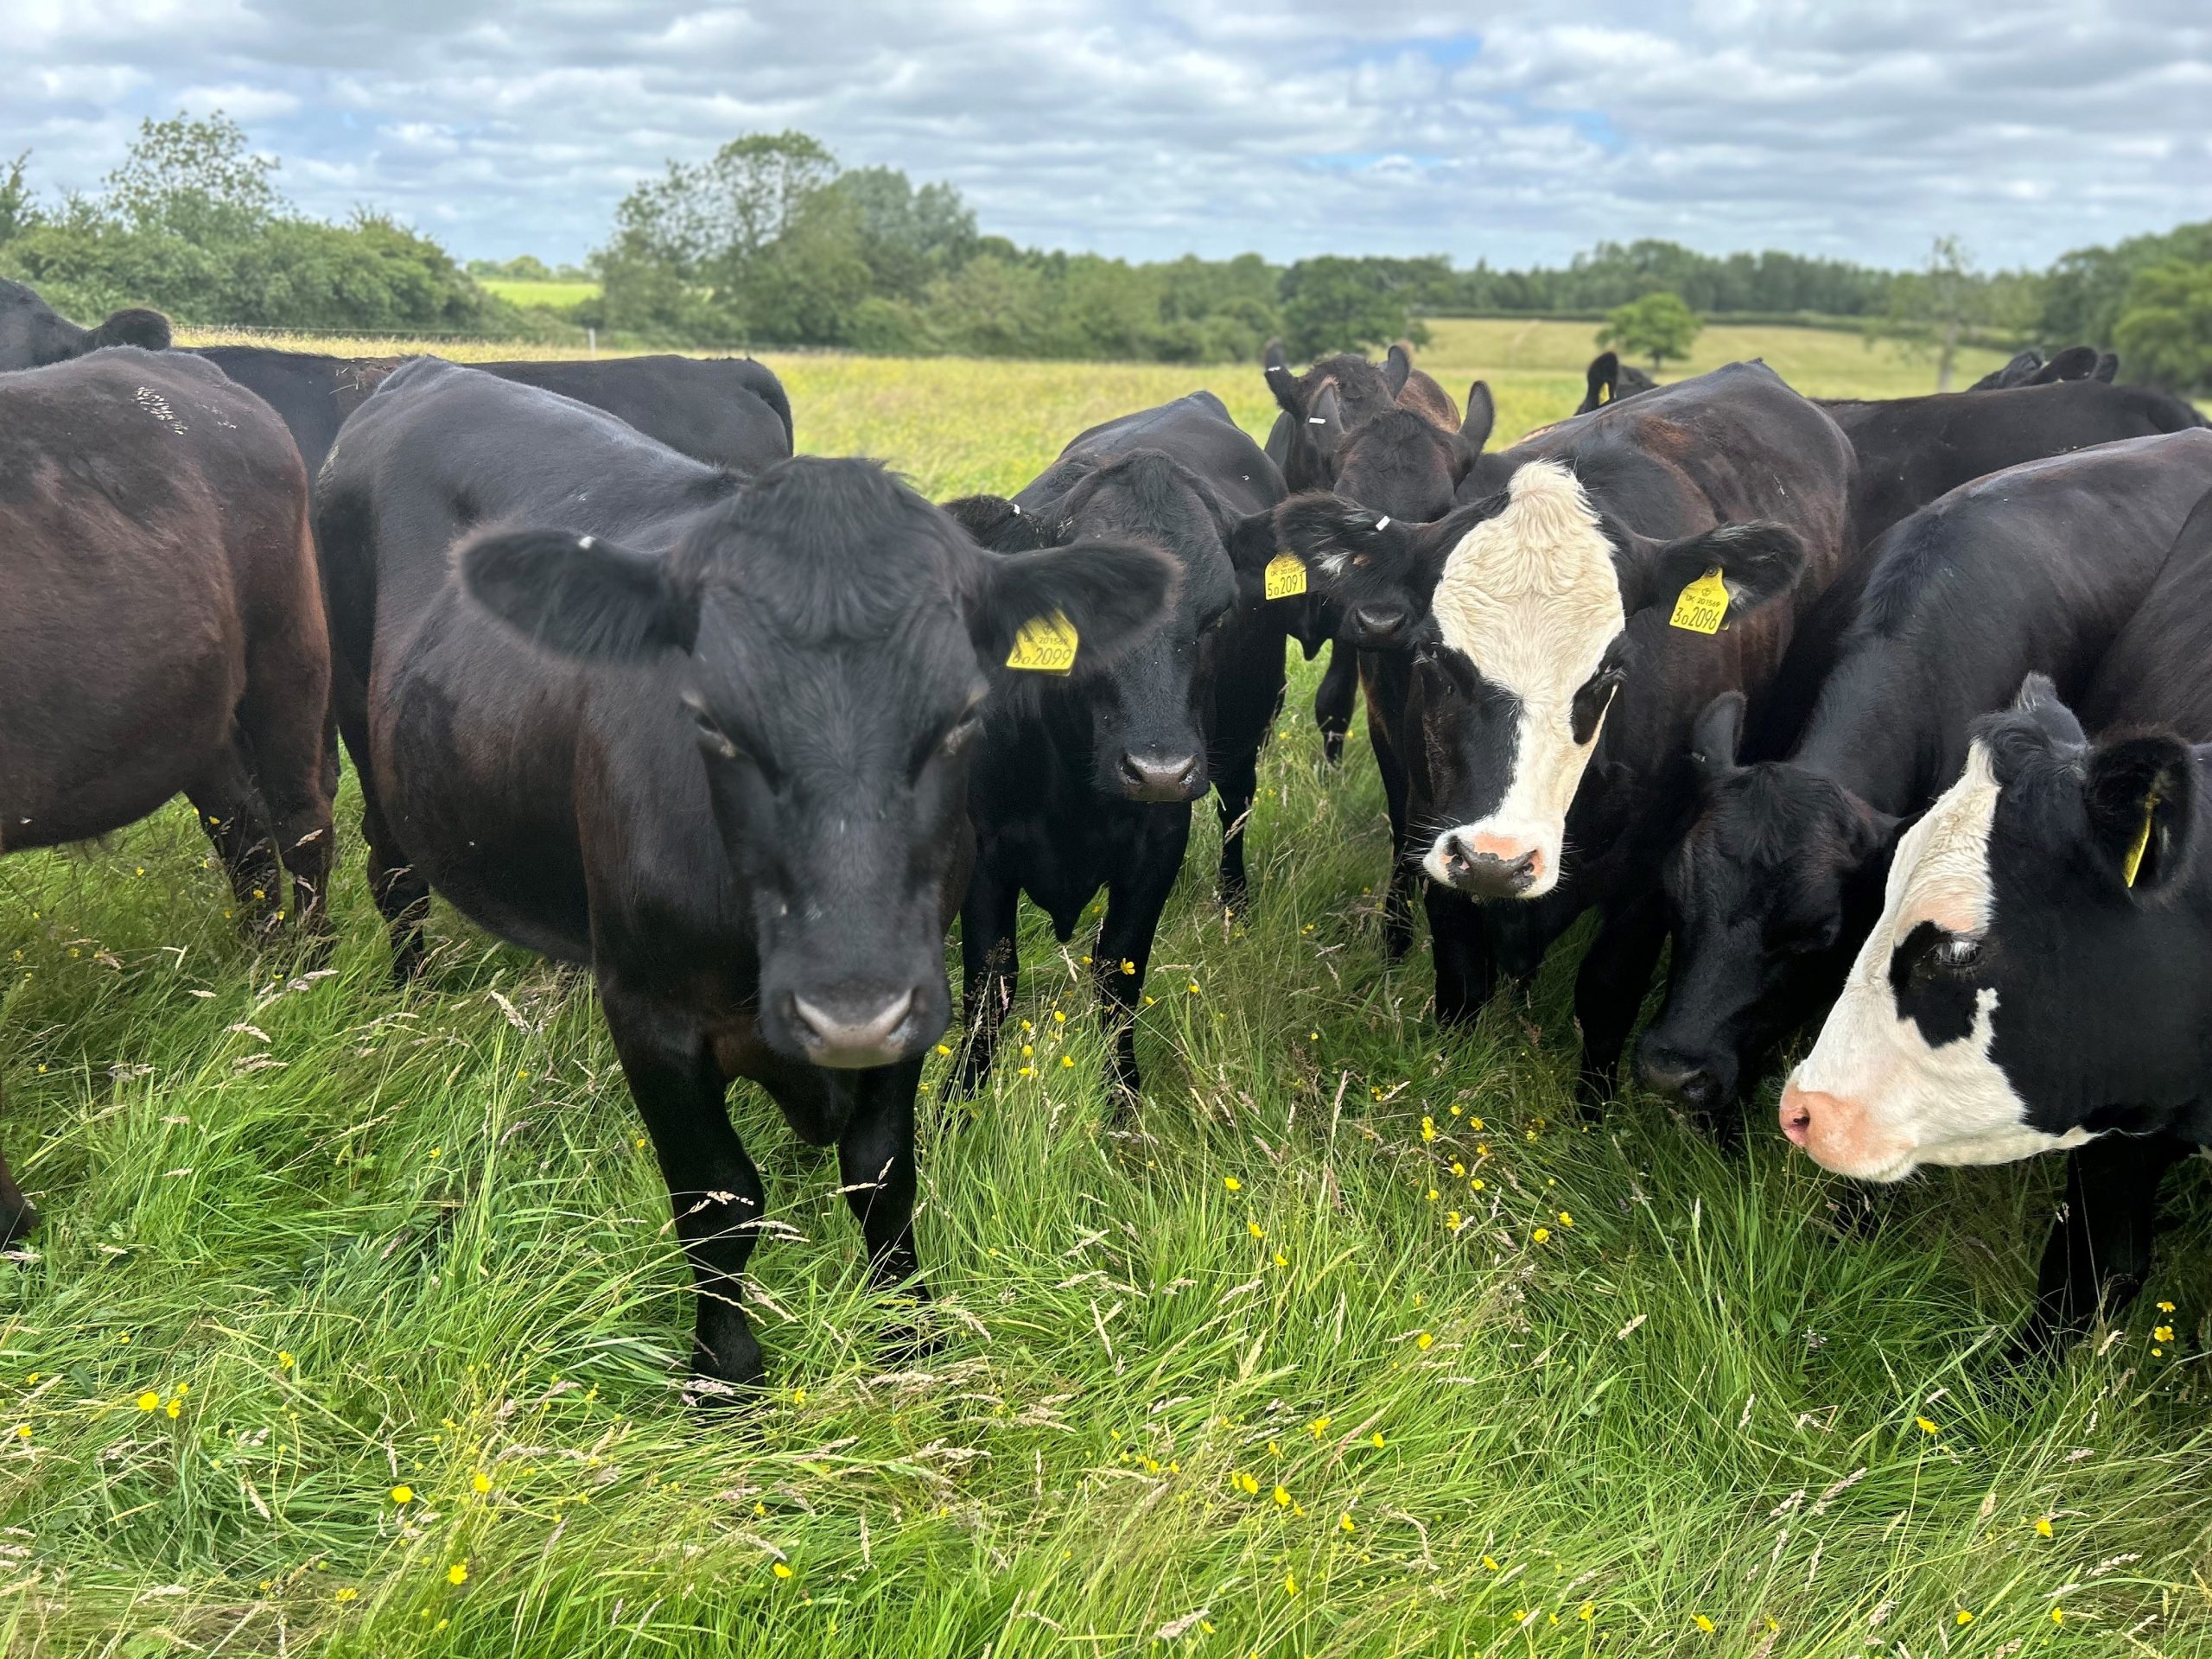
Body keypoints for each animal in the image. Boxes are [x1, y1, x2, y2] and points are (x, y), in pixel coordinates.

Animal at [1, 348, 335, 1244]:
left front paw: (13, 1217)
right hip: (199, 710)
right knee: (242, 834)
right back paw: (262, 967)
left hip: (289, 654)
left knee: (303, 825)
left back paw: (311, 972)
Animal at [313, 358, 1175, 1388]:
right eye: (708, 717)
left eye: (965, 713)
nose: (847, 1008)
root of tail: (422, 371)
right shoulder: (650, 1014)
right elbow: (719, 1202)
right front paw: (724, 1372)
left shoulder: (913, 989)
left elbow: (883, 1173)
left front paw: (909, 1335)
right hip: (365, 736)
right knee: (392, 873)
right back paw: (408, 1000)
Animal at [939, 392, 1284, 1095]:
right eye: (1079, 612)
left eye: (1221, 614)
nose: (1158, 770)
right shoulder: (983, 843)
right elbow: (990, 982)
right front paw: (960, 1098)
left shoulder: (1159, 842)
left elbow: (1118, 975)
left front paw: (1122, 1100)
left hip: (1241, 741)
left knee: (1236, 810)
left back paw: (1235, 906)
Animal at [1273, 362, 1853, 1107]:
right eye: (1434, 656)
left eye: (1609, 670)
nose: (1498, 861)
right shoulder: (1437, 833)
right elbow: (1461, 979)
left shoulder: (1651, 879)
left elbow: (1607, 996)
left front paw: (1592, 1115)